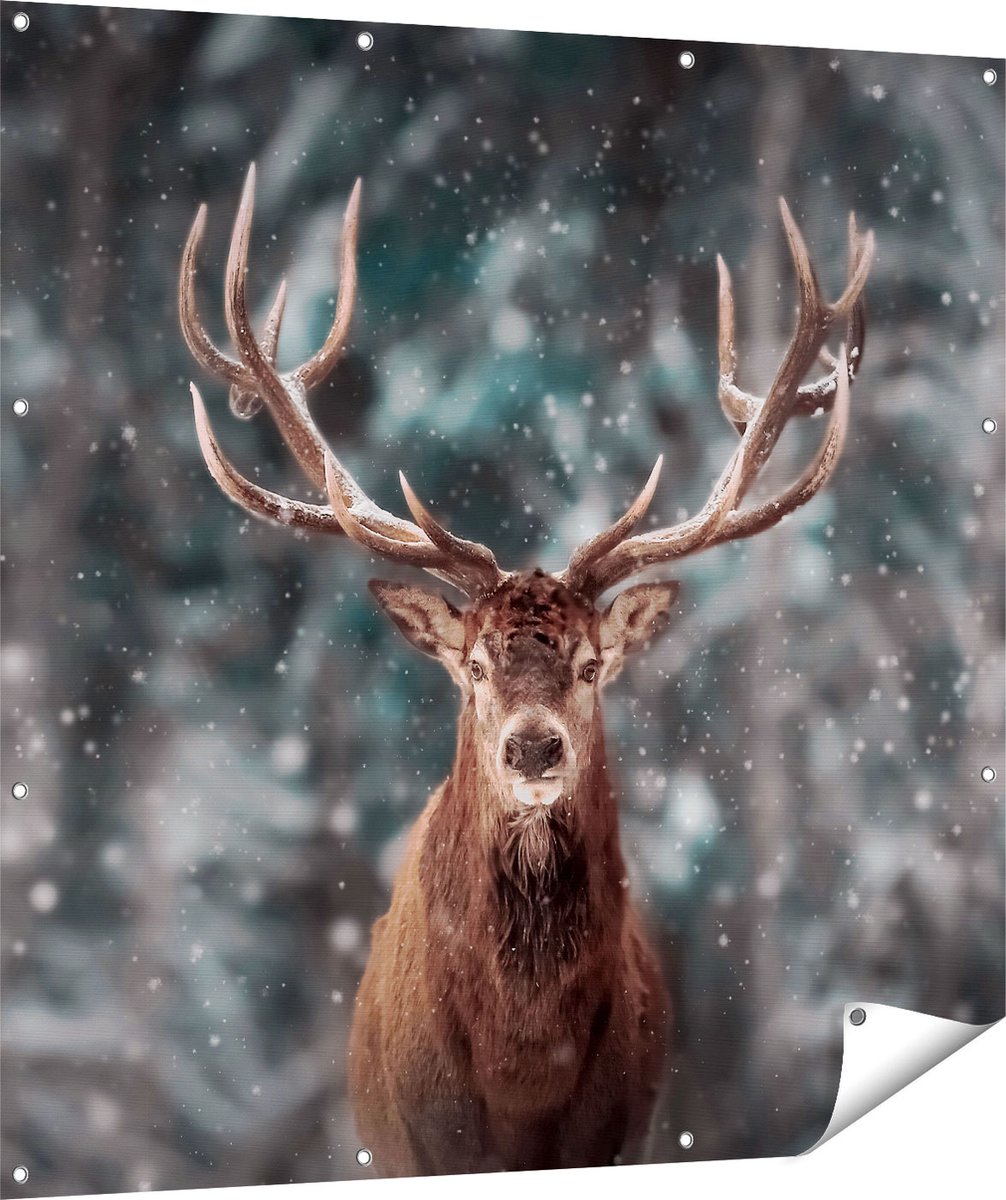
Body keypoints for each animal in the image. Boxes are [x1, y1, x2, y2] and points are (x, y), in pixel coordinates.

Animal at [178, 164, 874, 1176]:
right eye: (472, 665)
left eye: (590, 666)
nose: (535, 749)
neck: (523, 1077)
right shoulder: (419, 1145)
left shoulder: (623, 1133)